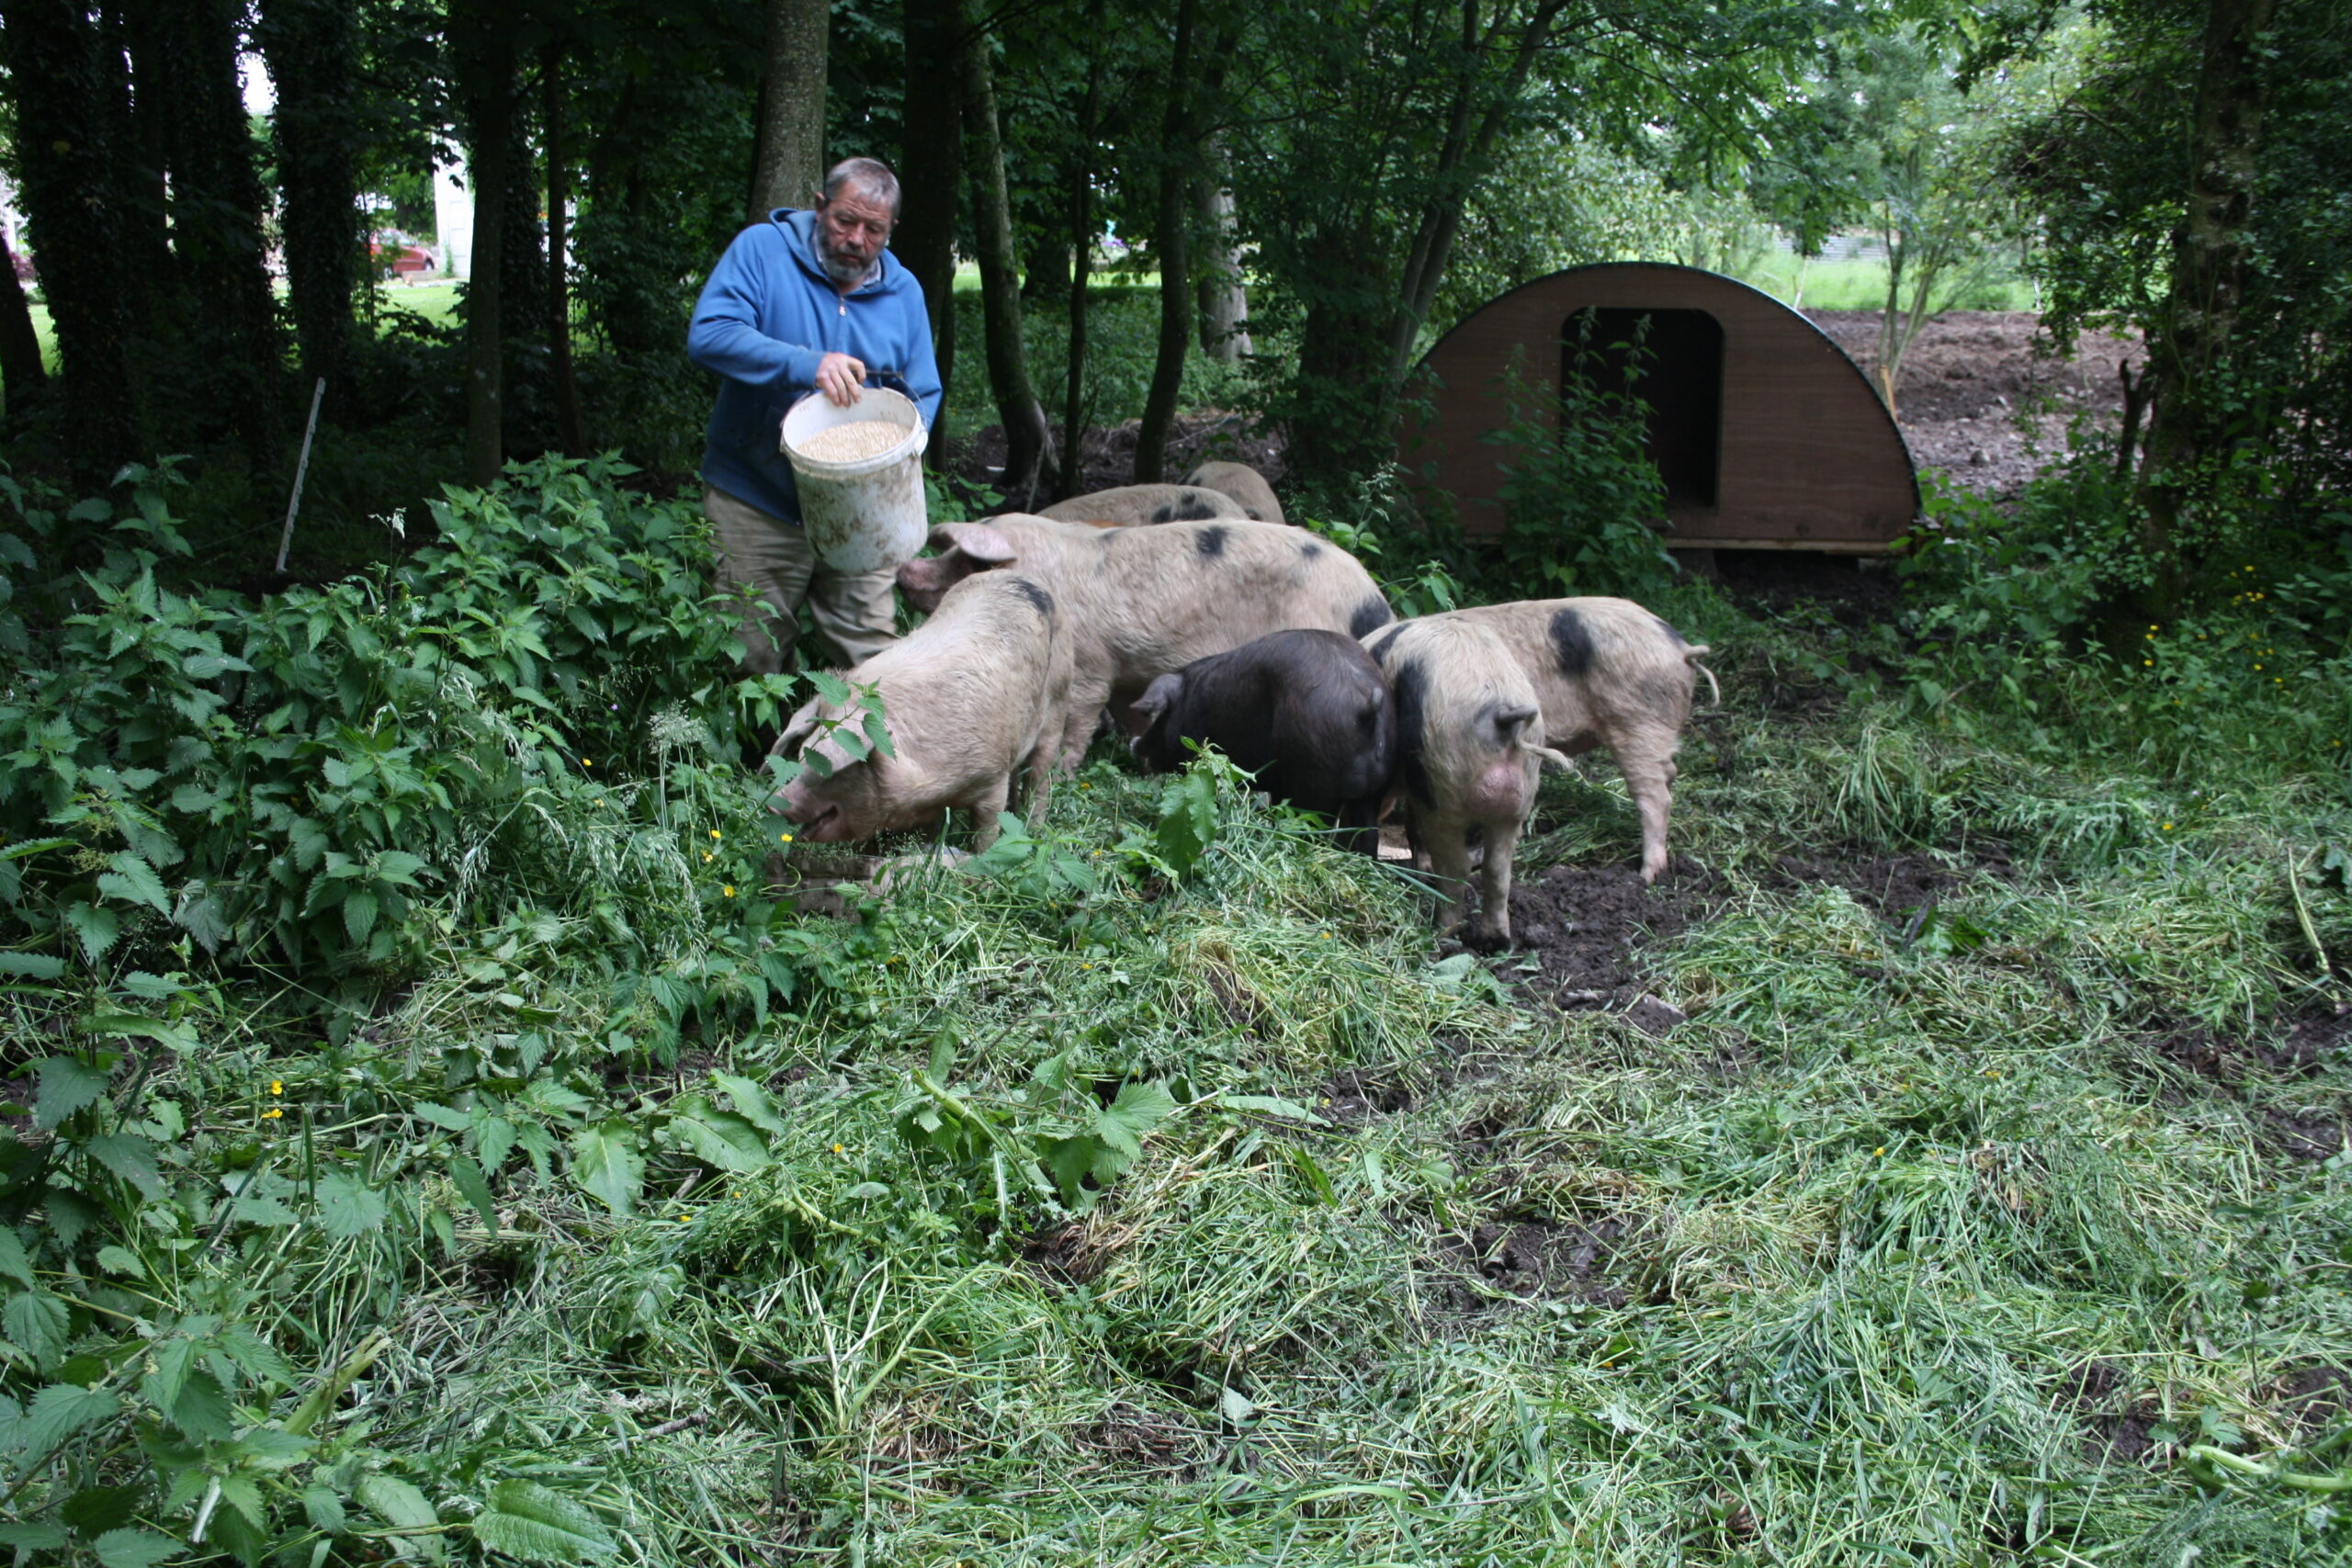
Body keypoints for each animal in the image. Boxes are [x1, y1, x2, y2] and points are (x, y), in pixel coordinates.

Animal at [771, 572, 1072, 852]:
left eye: (828, 771)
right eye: (801, 755)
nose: (776, 804)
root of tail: (1021, 576)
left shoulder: (993, 776)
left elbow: (985, 830)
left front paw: (981, 860)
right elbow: (926, 836)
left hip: (1058, 703)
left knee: (1040, 777)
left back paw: (1034, 829)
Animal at [897, 514, 1392, 769]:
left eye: (968, 560)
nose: (905, 570)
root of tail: (1373, 602)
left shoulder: (1090, 665)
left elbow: (1079, 717)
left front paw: (1062, 770)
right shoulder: (1125, 672)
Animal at [1128, 629, 1396, 853]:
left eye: (1159, 718)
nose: (1134, 743)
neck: (1187, 700)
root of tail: (1364, 708)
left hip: (1314, 784)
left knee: (1314, 830)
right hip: (1374, 791)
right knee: (1368, 836)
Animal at [1365, 617, 1570, 949]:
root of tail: (1502, 714)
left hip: (1446, 788)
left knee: (1456, 867)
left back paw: (1443, 933)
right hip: (1517, 802)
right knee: (1497, 869)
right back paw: (1494, 941)